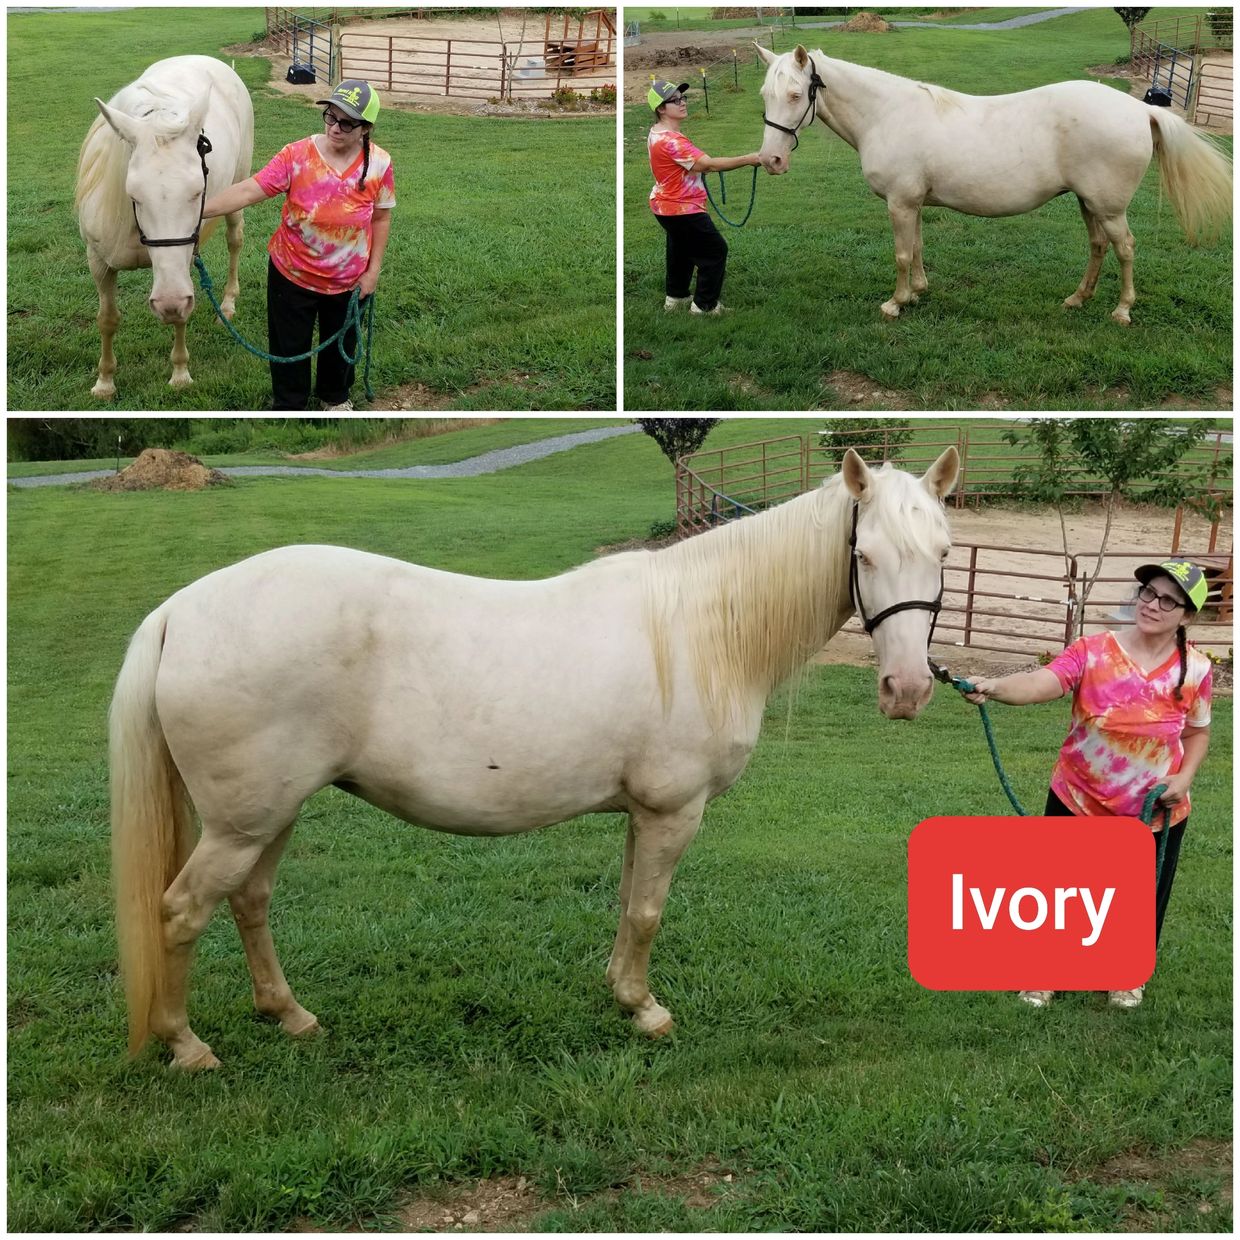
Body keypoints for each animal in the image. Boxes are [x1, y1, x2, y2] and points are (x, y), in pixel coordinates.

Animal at [75, 55, 254, 398]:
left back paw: (227, 304)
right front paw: (104, 382)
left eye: (198, 192)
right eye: (133, 195)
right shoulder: (98, 262)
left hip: (239, 187)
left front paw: (180, 373)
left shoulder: (181, 264)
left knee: (234, 241)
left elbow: (181, 316)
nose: (167, 303)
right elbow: (107, 319)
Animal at [110, 447, 959, 1069]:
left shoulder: (641, 812)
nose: (909, 689)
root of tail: (178, 611)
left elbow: (626, 904)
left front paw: (619, 992)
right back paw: (187, 1046)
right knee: (182, 912)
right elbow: (648, 912)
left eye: (945, 553)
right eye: (866, 553)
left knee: (249, 902)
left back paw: (289, 1016)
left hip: (269, 813)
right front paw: (647, 1012)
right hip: (241, 824)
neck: (702, 629)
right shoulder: (673, 810)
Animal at [756, 45, 1233, 324]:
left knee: (1126, 248)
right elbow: (919, 248)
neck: (887, 114)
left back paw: (1122, 309)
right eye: (765, 94)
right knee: (1098, 247)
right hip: (1088, 202)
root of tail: (1139, 109)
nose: (771, 160)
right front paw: (918, 293)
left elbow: (902, 253)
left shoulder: (900, 203)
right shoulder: (913, 202)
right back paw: (1078, 299)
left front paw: (896, 302)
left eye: (796, 95)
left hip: (1110, 207)